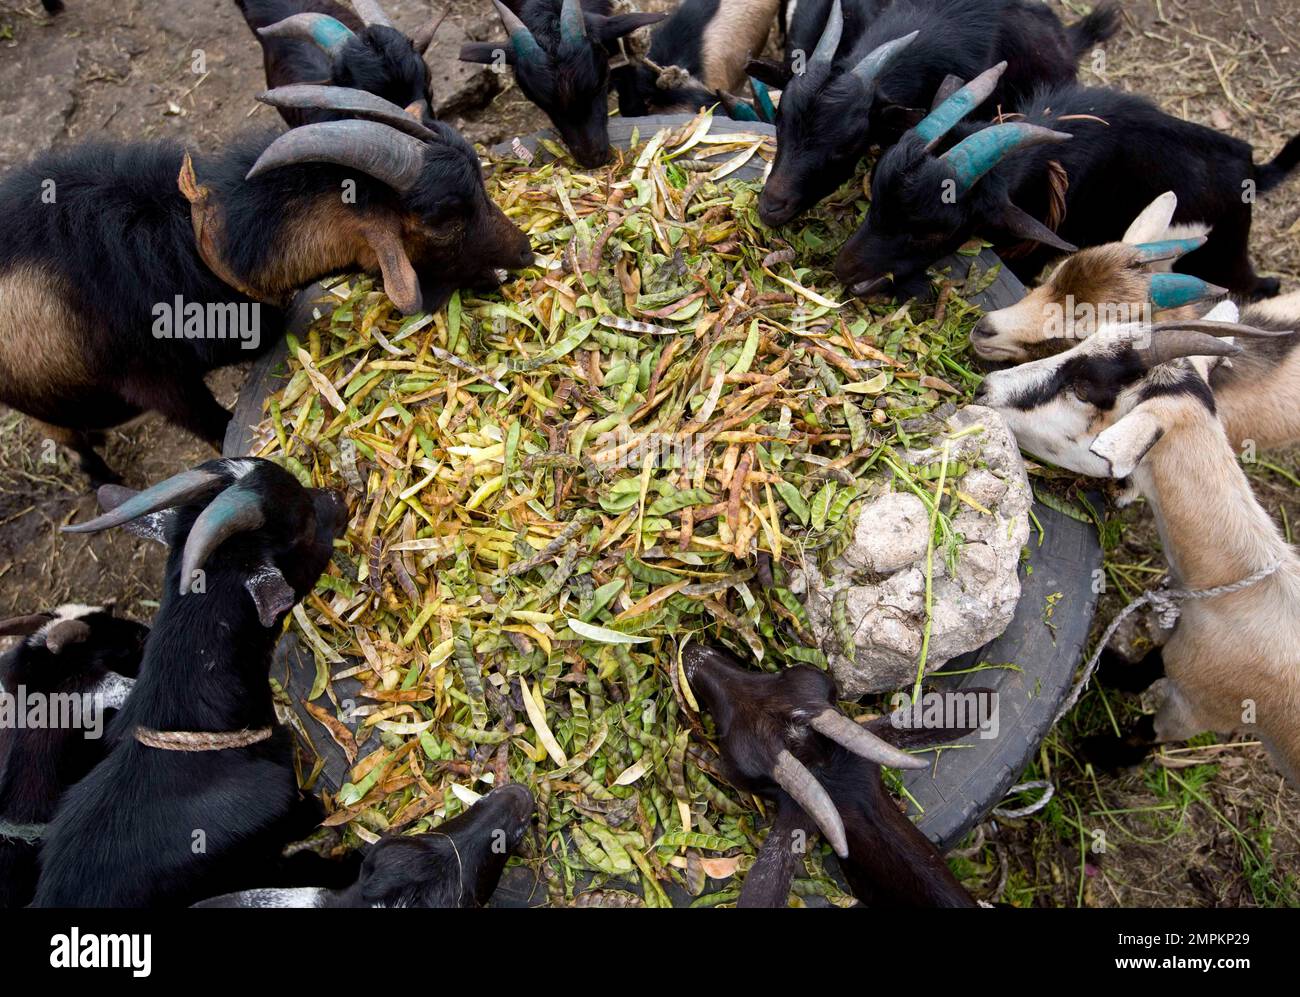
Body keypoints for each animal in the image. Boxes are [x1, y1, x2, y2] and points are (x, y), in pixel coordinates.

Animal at [835, 67, 1300, 301]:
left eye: (932, 231)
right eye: (876, 198)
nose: (843, 269)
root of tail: (1250, 166)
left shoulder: (1034, 254)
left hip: (1222, 255)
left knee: (1255, 285)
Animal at [975, 305, 1300, 786]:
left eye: (1085, 388)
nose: (986, 387)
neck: (1241, 588)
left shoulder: (1201, 709)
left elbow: (1148, 732)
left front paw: (1099, 752)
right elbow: (1154, 662)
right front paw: (1113, 668)